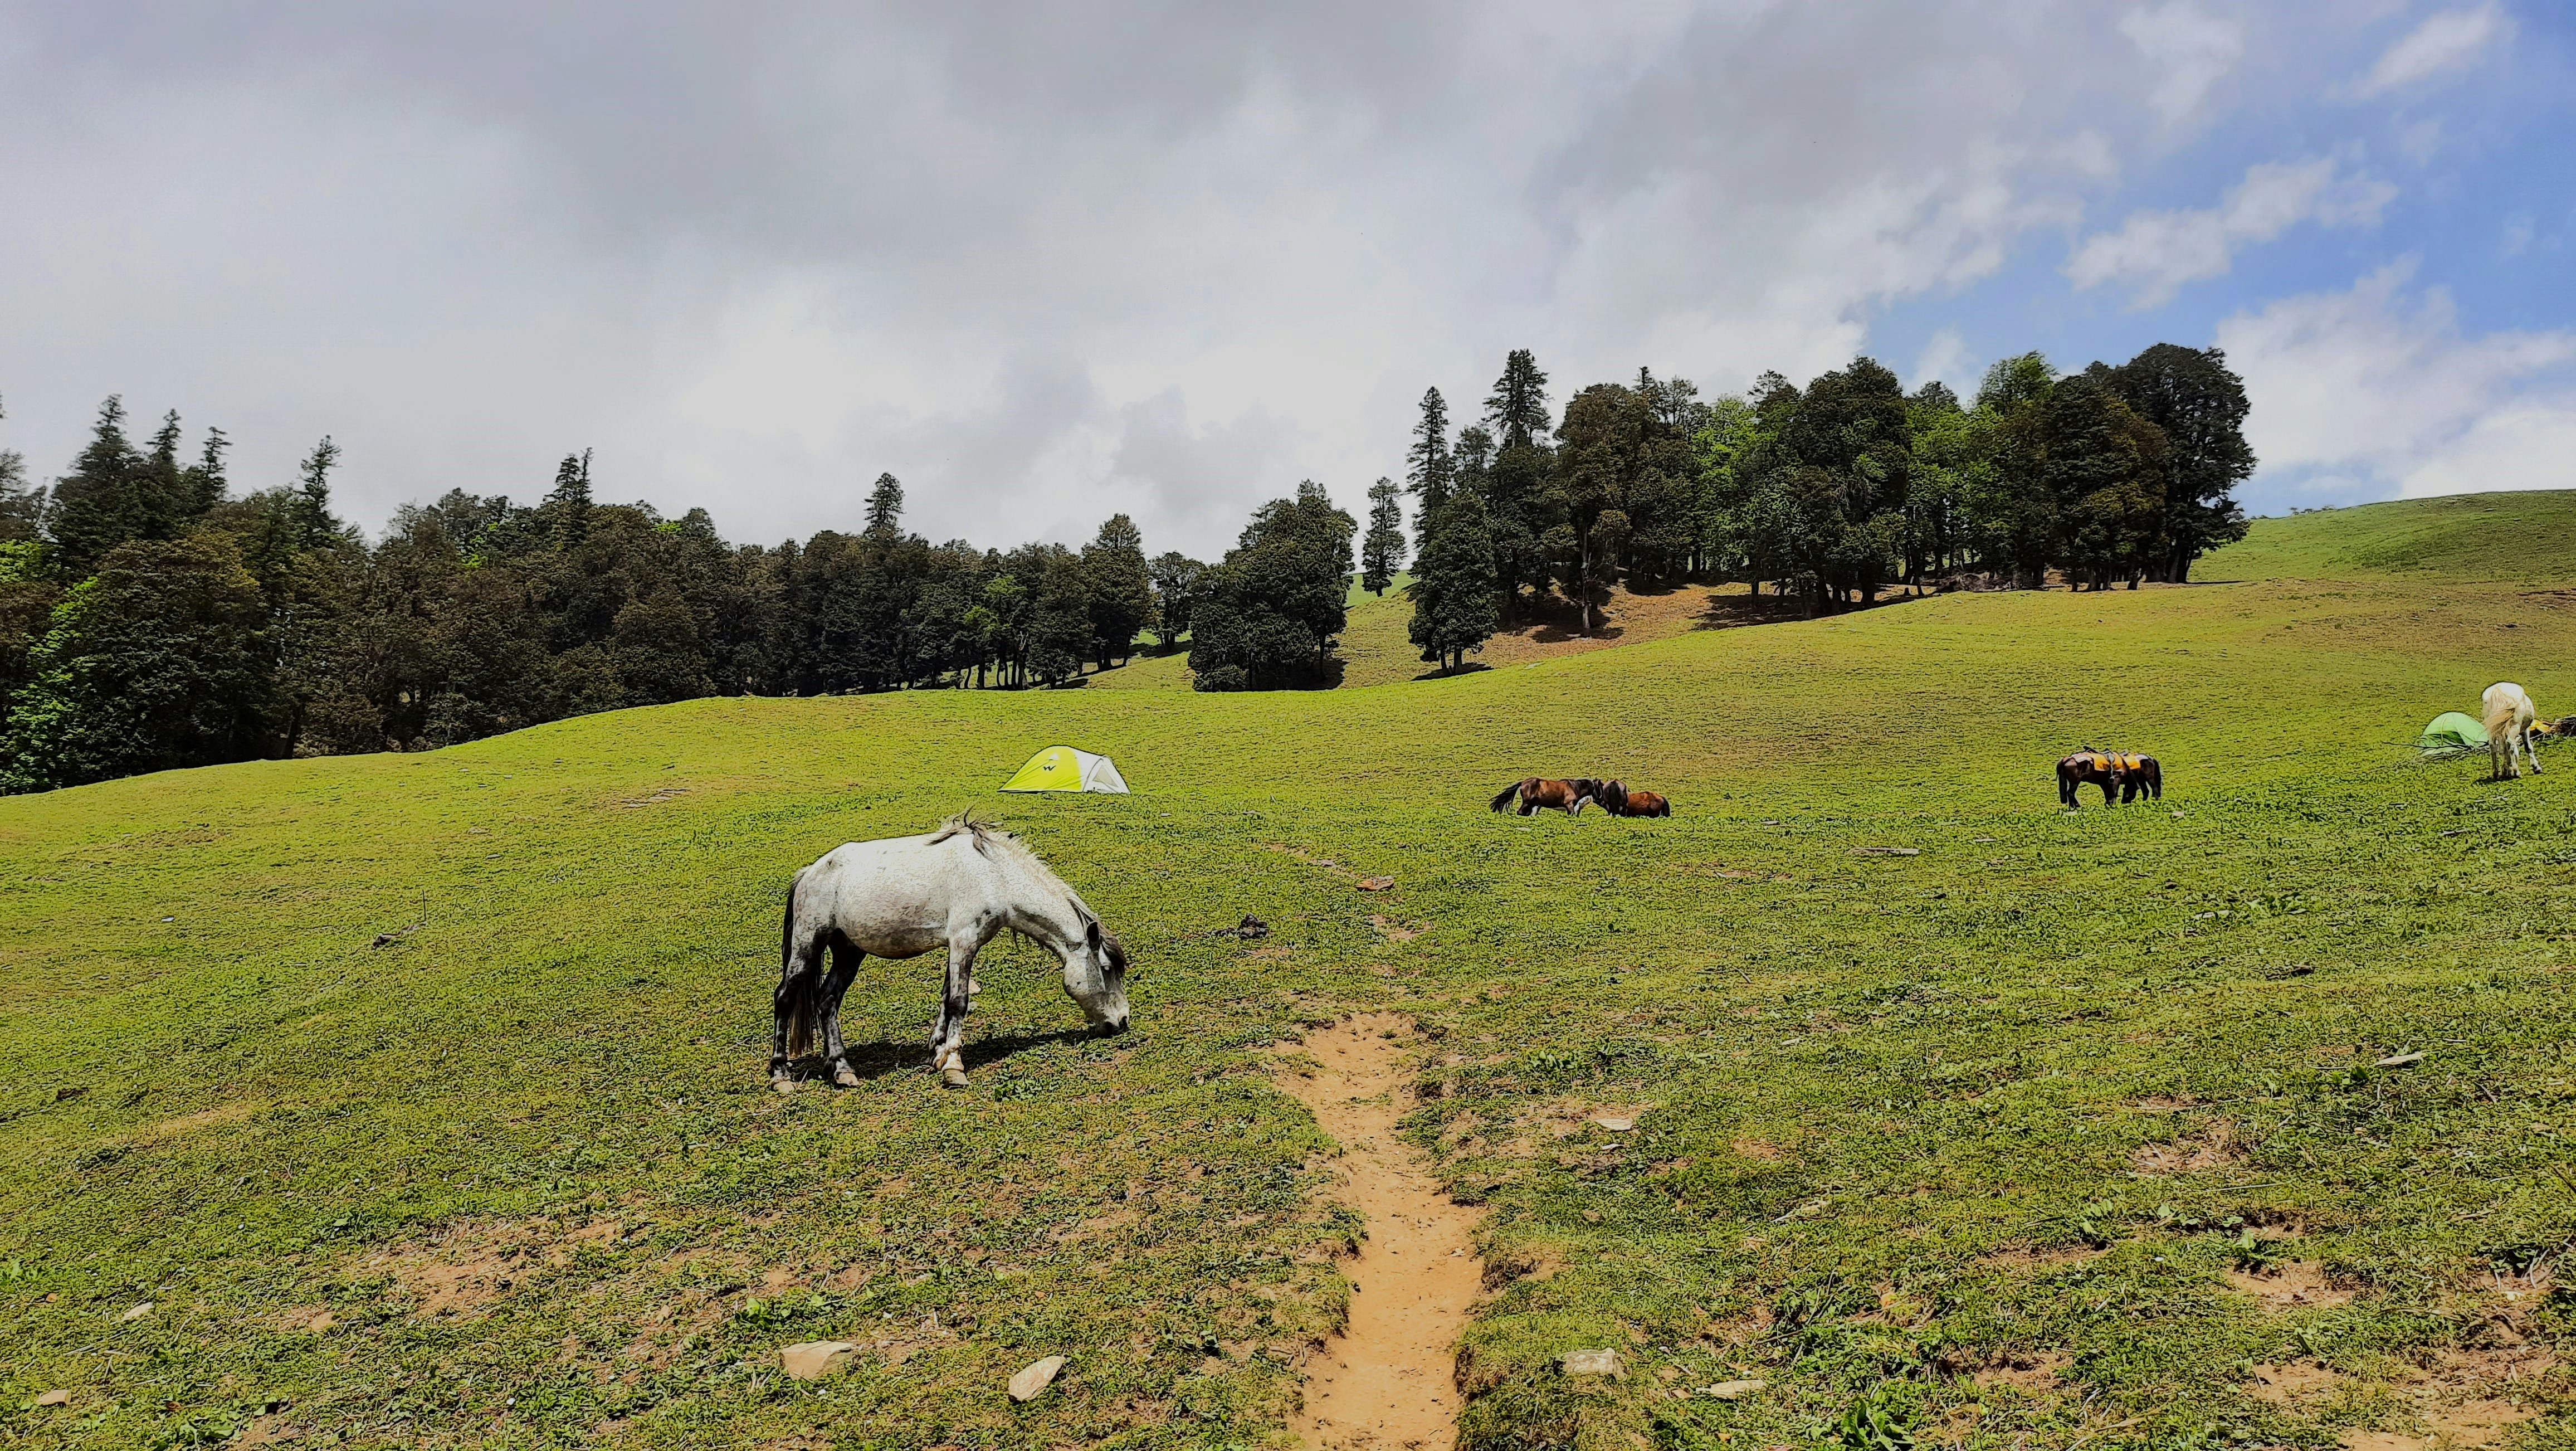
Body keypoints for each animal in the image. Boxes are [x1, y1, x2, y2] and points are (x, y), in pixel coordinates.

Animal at [772, 815, 1129, 1091]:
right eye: (1107, 968)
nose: (1122, 1021)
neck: (995, 876)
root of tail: (809, 874)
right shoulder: (964, 942)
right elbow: (959, 1002)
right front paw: (954, 1067)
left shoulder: (957, 946)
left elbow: (946, 998)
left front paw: (938, 1053)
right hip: (808, 943)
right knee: (785, 997)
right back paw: (781, 1075)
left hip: (849, 953)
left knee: (828, 1001)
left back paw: (842, 1070)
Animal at [1489, 777, 1603, 815]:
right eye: (1600, 787)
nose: (1600, 799)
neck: (1574, 787)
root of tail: (1523, 783)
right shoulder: (1570, 806)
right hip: (1527, 803)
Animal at [2483, 682, 2543, 780]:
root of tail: (2497, 691)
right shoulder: (2525, 730)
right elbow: (2528, 748)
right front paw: (2536, 768)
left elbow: (2503, 750)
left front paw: (2505, 770)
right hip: (2514, 726)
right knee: (2510, 743)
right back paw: (2516, 772)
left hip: (2492, 729)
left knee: (2493, 745)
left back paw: (2495, 773)